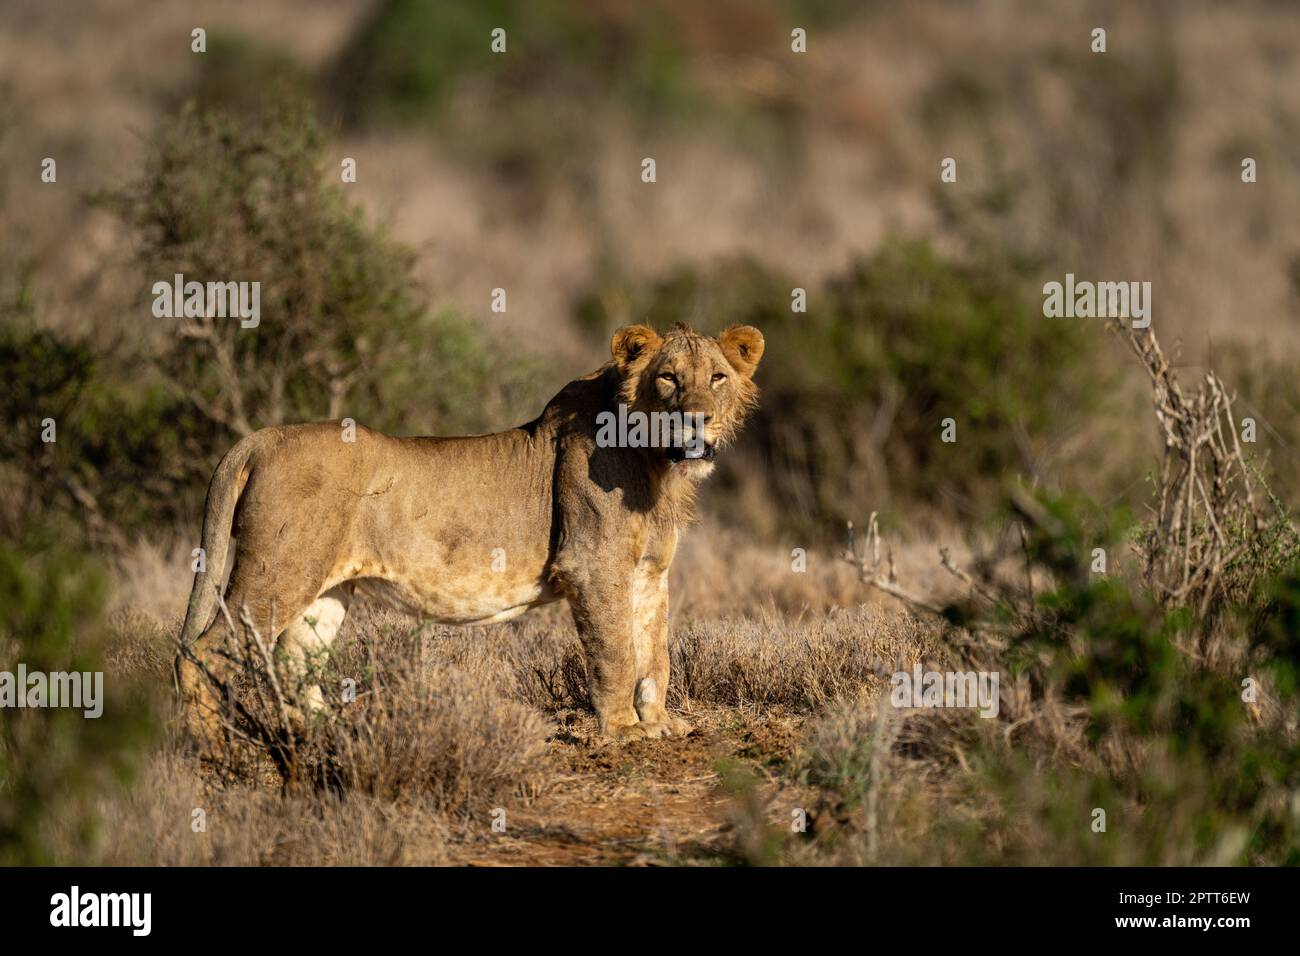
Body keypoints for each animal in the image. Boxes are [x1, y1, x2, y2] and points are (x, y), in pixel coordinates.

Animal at [176, 322, 764, 743]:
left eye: (717, 378)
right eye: (668, 378)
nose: (698, 420)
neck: (656, 466)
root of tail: (261, 438)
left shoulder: (649, 573)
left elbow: (654, 650)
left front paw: (659, 722)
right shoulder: (592, 565)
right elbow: (616, 650)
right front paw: (622, 730)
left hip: (325, 589)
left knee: (295, 661)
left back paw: (326, 733)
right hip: (277, 571)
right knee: (204, 651)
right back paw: (210, 748)